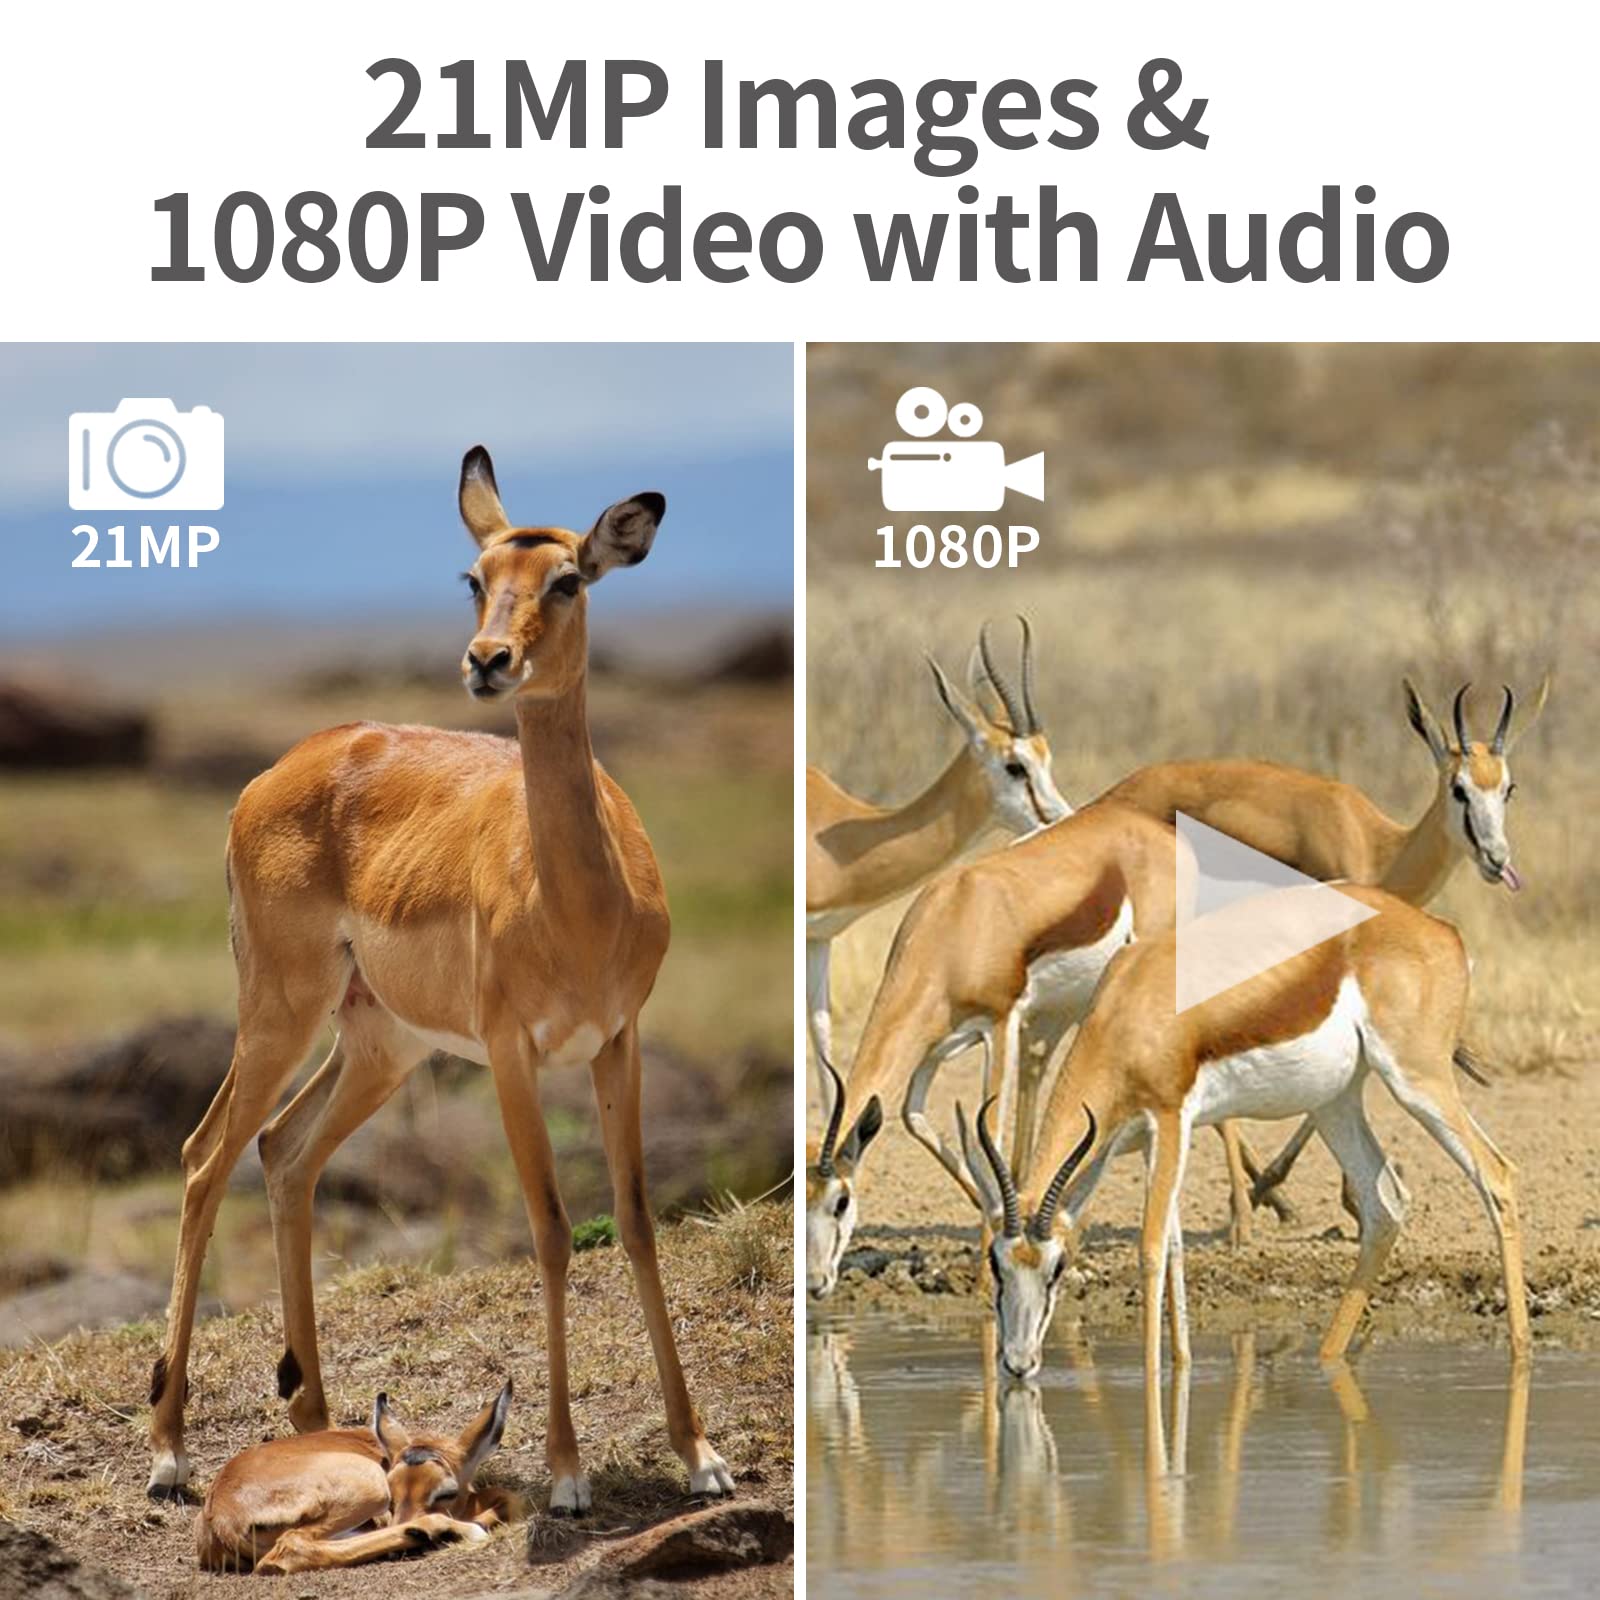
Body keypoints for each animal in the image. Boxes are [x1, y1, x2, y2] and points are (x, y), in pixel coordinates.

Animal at [146, 447, 732, 1513]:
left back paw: (314, 1415)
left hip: (380, 1044)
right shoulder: (511, 1054)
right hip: (282, 1012)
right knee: (208, 1154)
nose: (488, 660)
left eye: (569, 578)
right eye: (475, 576)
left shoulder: (617, 1040)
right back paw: (168, 1451)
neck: (577, 903)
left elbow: (634, 1221)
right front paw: (568, 1473)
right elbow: (550, 1229)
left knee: (285, 1152)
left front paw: (699, 1453)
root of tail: (273, 773)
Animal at [195, 1384, 516, 1574]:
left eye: (446, 1492)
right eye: (394, 1497)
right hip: (368, 1488)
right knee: (289, 1547)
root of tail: (221, 1516)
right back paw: (442, 1531)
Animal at [946, 882, 1529, 1386]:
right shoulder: (1146, 1141)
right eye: (996, 1264)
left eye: (1058, 1267)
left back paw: (1521, 1354)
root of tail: (1442, 931)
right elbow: (1176, 1246)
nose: (1018, 1363)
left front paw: (1153, 1376)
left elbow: (1151, 1249)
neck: (1131, 1007)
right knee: (1385, 1200)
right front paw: (1181, 1366)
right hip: (1335, 1102)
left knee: (1497, 1175)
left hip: (1416, 1079)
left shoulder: (1171, 1119)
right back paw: (1328, 1357)